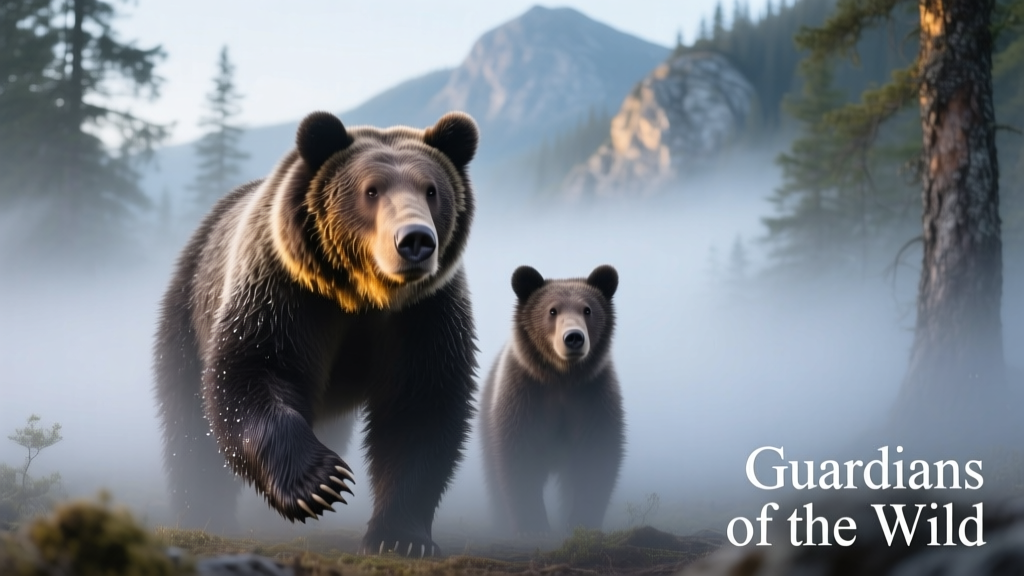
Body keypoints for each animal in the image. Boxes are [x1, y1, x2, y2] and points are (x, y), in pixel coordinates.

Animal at [153, 110, 479, 558]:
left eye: (432, 190)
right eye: (371, 189)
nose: (415, 240)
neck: (363, 295)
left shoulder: (425, 314)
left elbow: (421, 407)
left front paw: (402, 536)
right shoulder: (284, 292)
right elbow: (253, 373)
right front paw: (319, 483)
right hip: (187, 311)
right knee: (187, 426)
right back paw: (203, 512)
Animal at [479, 265, 625, 534]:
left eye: (587, 309)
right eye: (552, 310)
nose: (574, 337)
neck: (562, 378)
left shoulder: (592, 397)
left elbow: (597, 457)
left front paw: (581, 522)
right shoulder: (524, 396)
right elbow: (518, 457)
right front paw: (533, 526)